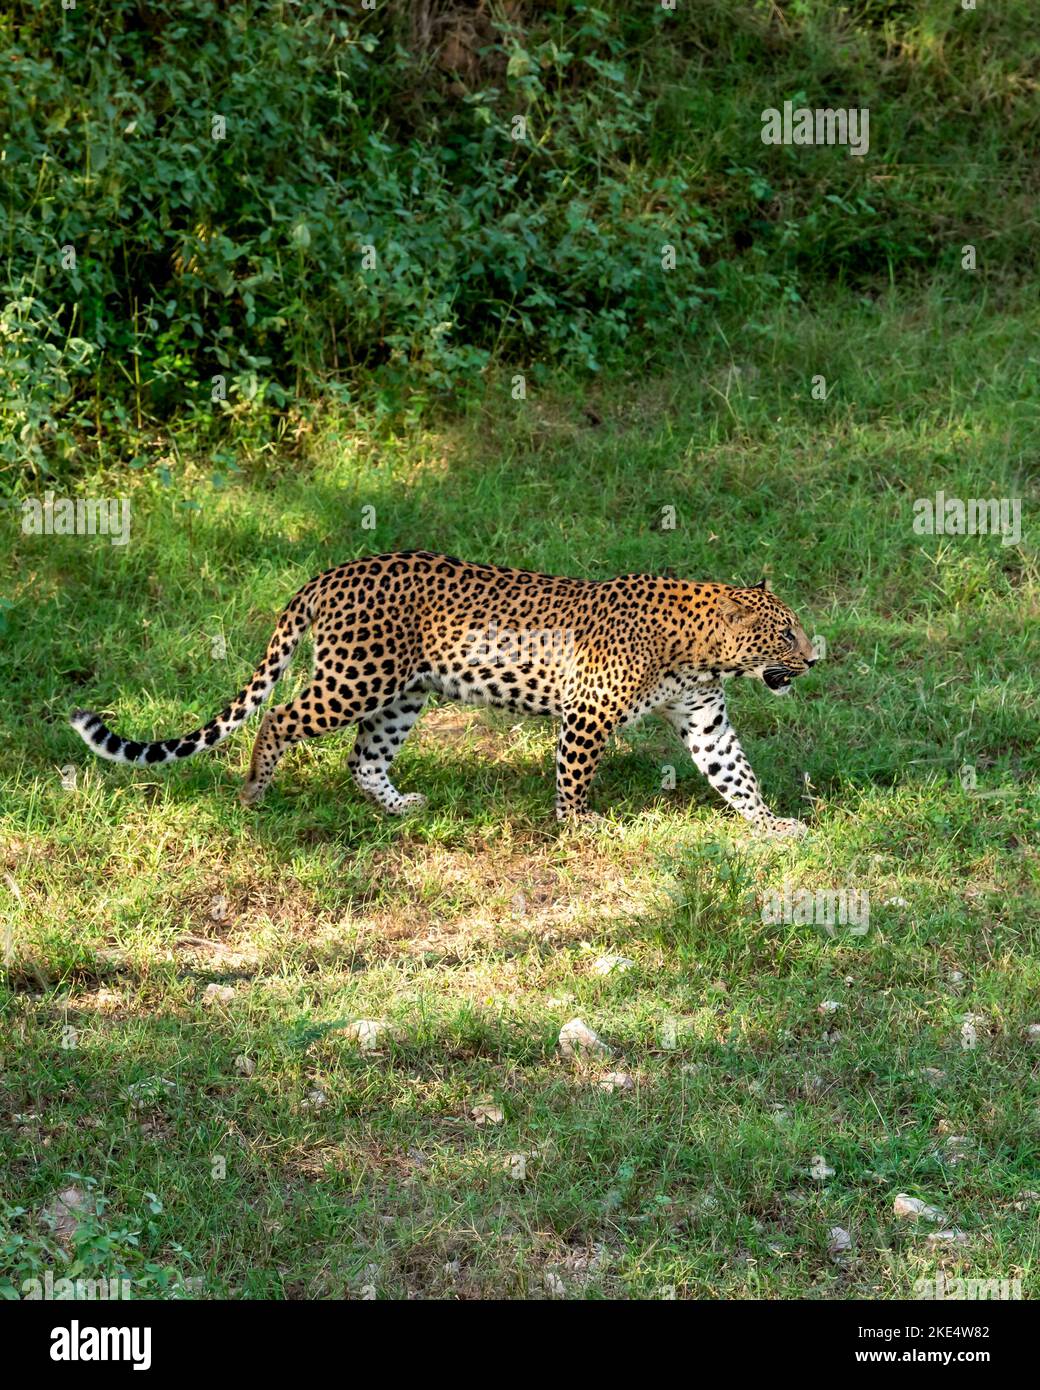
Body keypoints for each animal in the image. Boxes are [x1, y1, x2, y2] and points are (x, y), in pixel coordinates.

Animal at [70, 550, 818, 834]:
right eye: (785, 633)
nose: (814, 658)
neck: (699, 653)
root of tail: (329, 573)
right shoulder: (587, 714)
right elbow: (574, 778)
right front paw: (578, 826)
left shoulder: (704, 719)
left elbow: (735, 774)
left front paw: (774, 825)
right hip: (354, 680)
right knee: (278, 718)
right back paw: (254, 794)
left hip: (401, 695)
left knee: (362, 759)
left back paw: (399, 807)